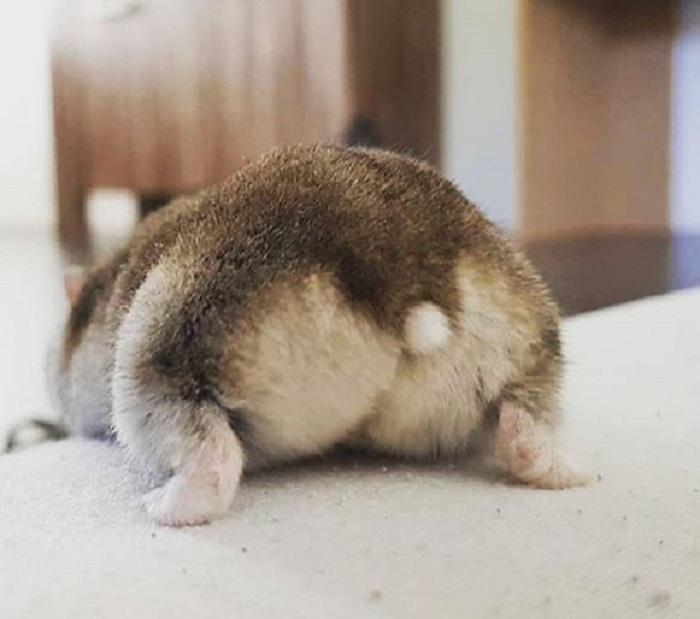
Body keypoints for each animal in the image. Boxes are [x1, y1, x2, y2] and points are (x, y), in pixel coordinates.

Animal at [49, 145, 585, 526]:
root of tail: (405, 279)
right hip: (527, 345)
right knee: (526, 425)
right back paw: (571, 472)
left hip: (164, 348)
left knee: (212, 456)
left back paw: (163, 505)